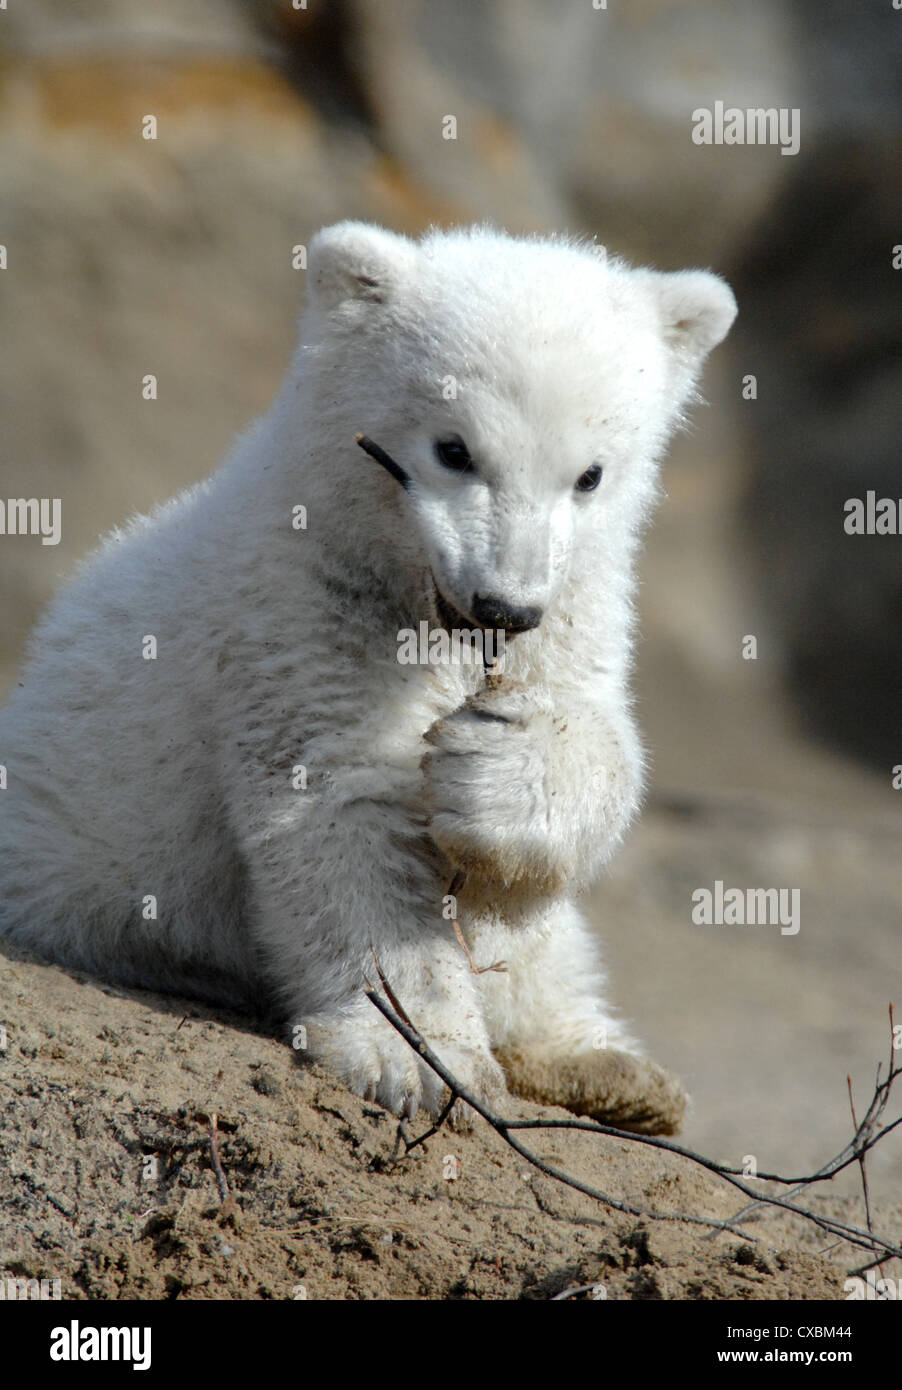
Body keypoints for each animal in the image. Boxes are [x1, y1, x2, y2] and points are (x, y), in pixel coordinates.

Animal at [0, 222, 736, 1135]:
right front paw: (416, 1059)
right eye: (454, 450)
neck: (411, 595)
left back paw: (614, 1072)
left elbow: (589, 744)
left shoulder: (579, 605)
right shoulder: (300, 611)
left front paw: (496, 768)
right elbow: (341, 808)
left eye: (591, 474)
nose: (504, 604)